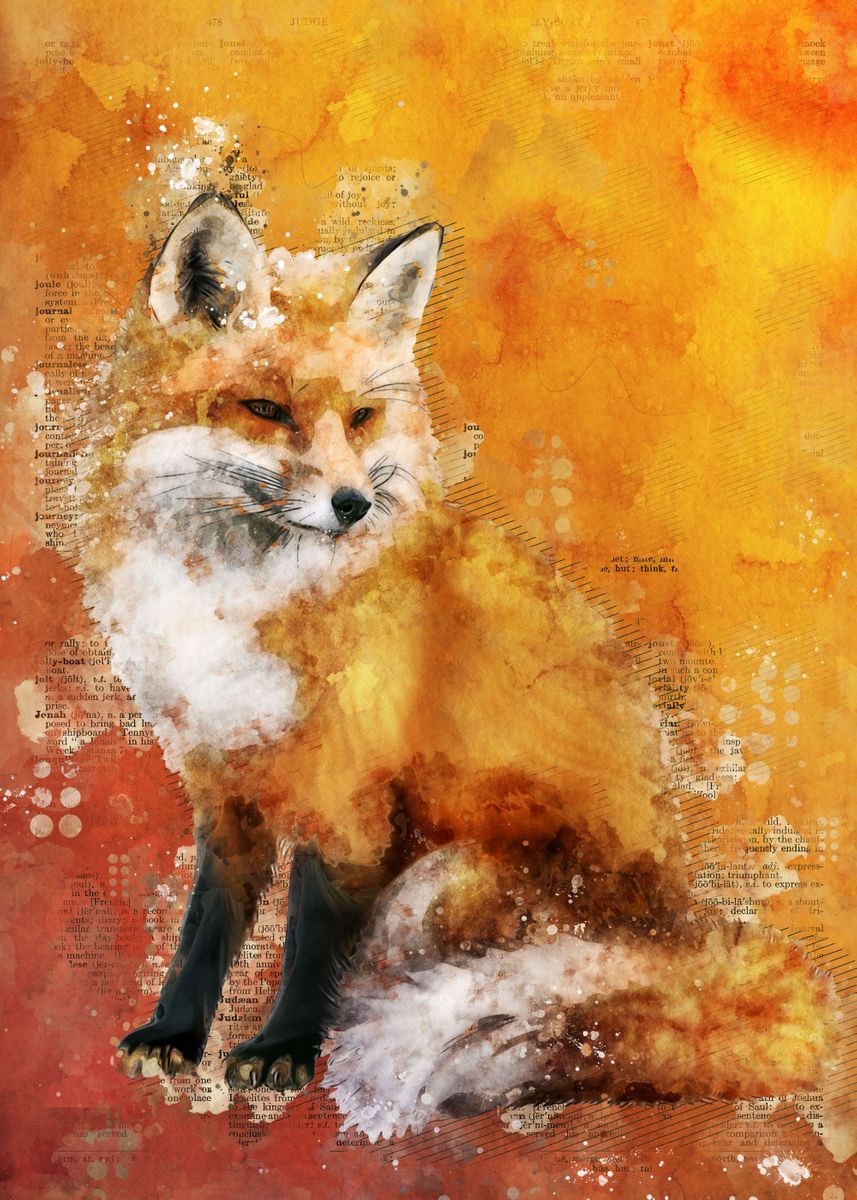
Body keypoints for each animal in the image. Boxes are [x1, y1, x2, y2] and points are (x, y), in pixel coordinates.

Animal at [77, 192, 837, 1137]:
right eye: (264, 409)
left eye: (361, 418)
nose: (352, 505)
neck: (245, 597)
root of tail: (678, 925)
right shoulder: (223, 780)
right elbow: (205, 927)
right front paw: (175, 1035)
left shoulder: (352, 796)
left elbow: (310, 939)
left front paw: (285, 1047)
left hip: (442, 876)